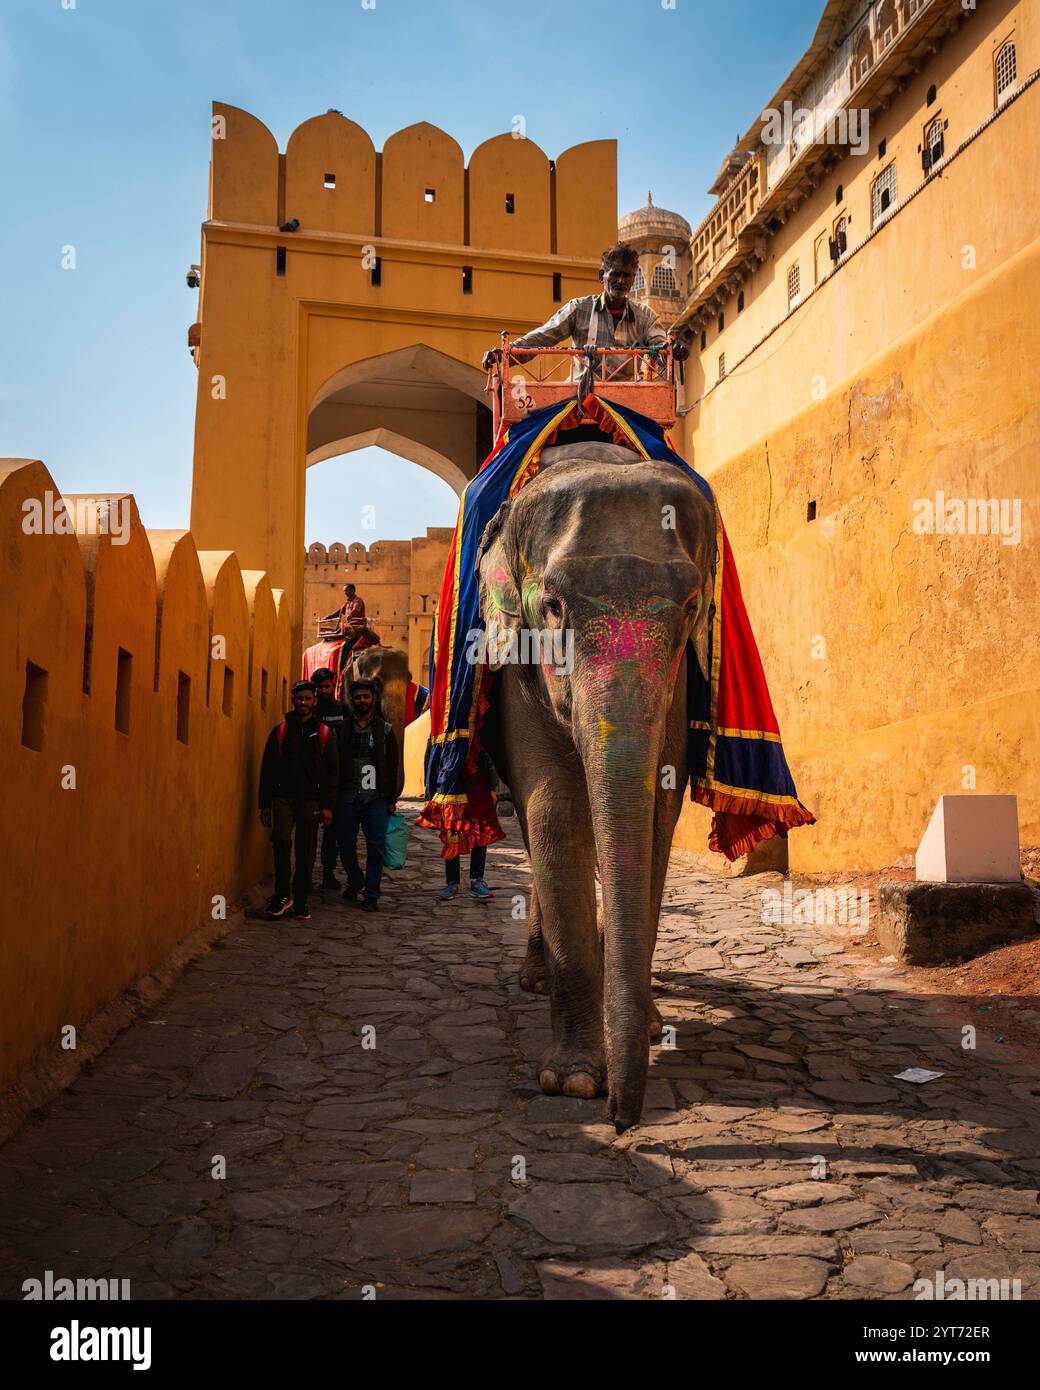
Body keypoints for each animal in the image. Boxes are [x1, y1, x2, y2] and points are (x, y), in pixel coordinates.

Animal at [476, 441, 715, 1132]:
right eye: (553, 607)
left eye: (691, 608)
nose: (621, 1119)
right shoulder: (517, 667)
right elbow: (554, 806)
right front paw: (576, 1081)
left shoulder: (678, 685)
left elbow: (658, 810)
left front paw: (647, 1029)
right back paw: (535, 980)